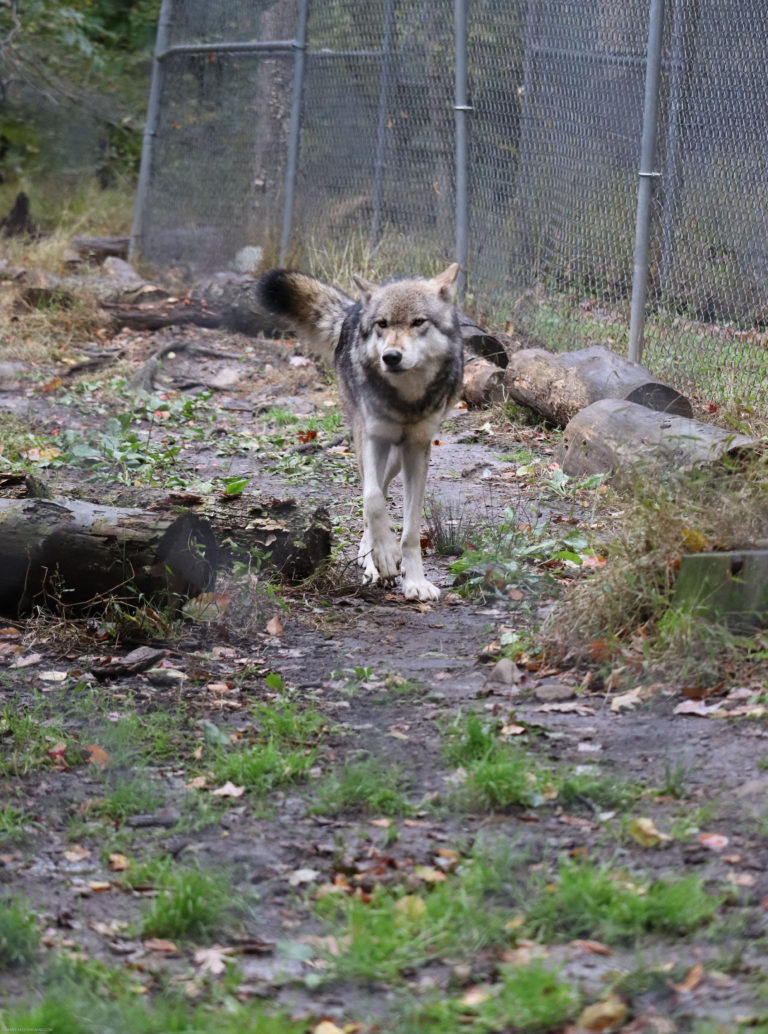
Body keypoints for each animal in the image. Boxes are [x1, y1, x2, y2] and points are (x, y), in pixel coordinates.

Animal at [256, 264, 463, 601]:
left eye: (418, 322)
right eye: (383, 324)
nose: (391, 356)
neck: (405, 400)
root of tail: (356, 305)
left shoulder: (417, 448)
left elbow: (410, 530)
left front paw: (415, 582)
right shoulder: (372, 437)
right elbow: (372, 499)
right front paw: (384, 557)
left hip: (397, 457)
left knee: (383, 489)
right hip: (369, 441)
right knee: (370, 495)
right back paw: (372, 563)